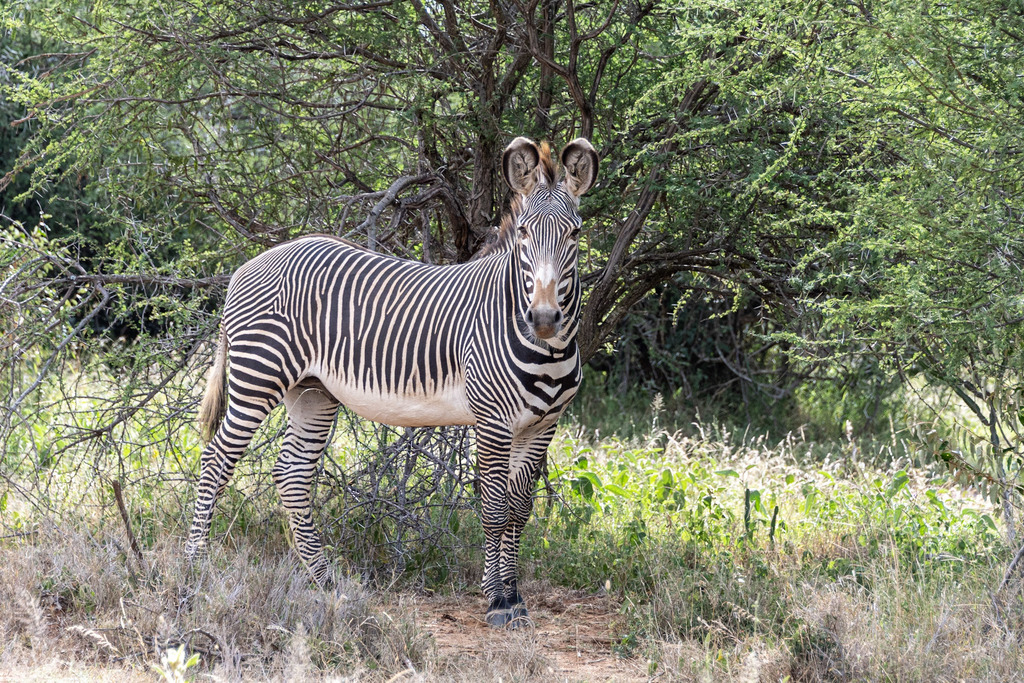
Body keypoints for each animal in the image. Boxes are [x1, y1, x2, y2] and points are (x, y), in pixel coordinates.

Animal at [186, 136, 599, 628]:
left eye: (575, 234)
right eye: (523, 234)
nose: (543, 319)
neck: (545, 350)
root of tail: (250, 264)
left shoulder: (542, 425)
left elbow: (519, 510)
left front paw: (515, 599)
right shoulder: (493, 421)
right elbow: (495, 508)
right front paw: (497, 601)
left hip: (312, 392)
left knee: (292, 475)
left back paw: (325, 580)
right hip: (257, 376)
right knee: (215, 461)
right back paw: (195, 566)